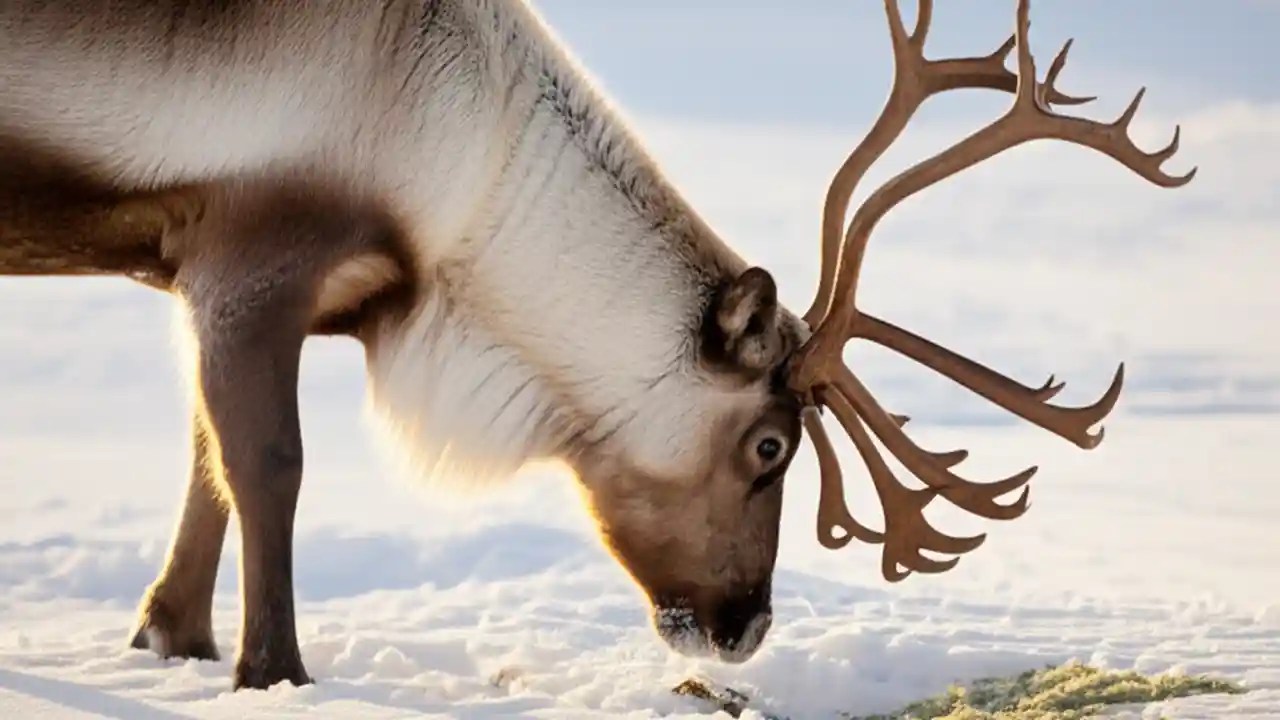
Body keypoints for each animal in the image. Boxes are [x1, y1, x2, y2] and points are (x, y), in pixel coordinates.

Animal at [0, 0, 1192, 692]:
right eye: (771, 445)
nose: (746, 629)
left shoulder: (206, 282)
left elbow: (205, 459)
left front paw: (173, 637)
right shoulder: (253, 258)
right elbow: (267, 467)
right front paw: (273, 672)